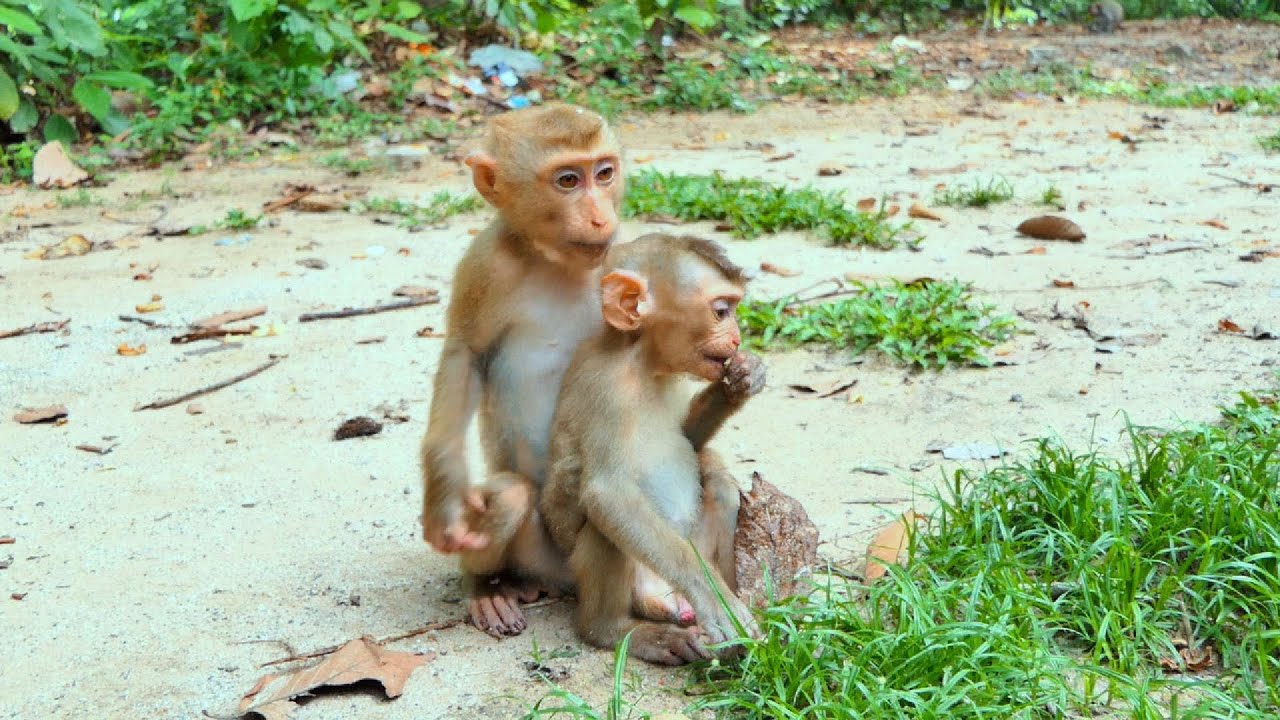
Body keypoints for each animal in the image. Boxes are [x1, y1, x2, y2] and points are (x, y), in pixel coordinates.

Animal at [541, 233, 767, 665]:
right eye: (721, 311)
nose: (736, 339)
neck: (641, 362)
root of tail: (664, 595)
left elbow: (690, 441)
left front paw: (738, 383)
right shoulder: (606, 391)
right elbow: (608, 493)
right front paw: (717, 601)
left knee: (714, 475)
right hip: (635, 582)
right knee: (603, 519)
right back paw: (616, 630)